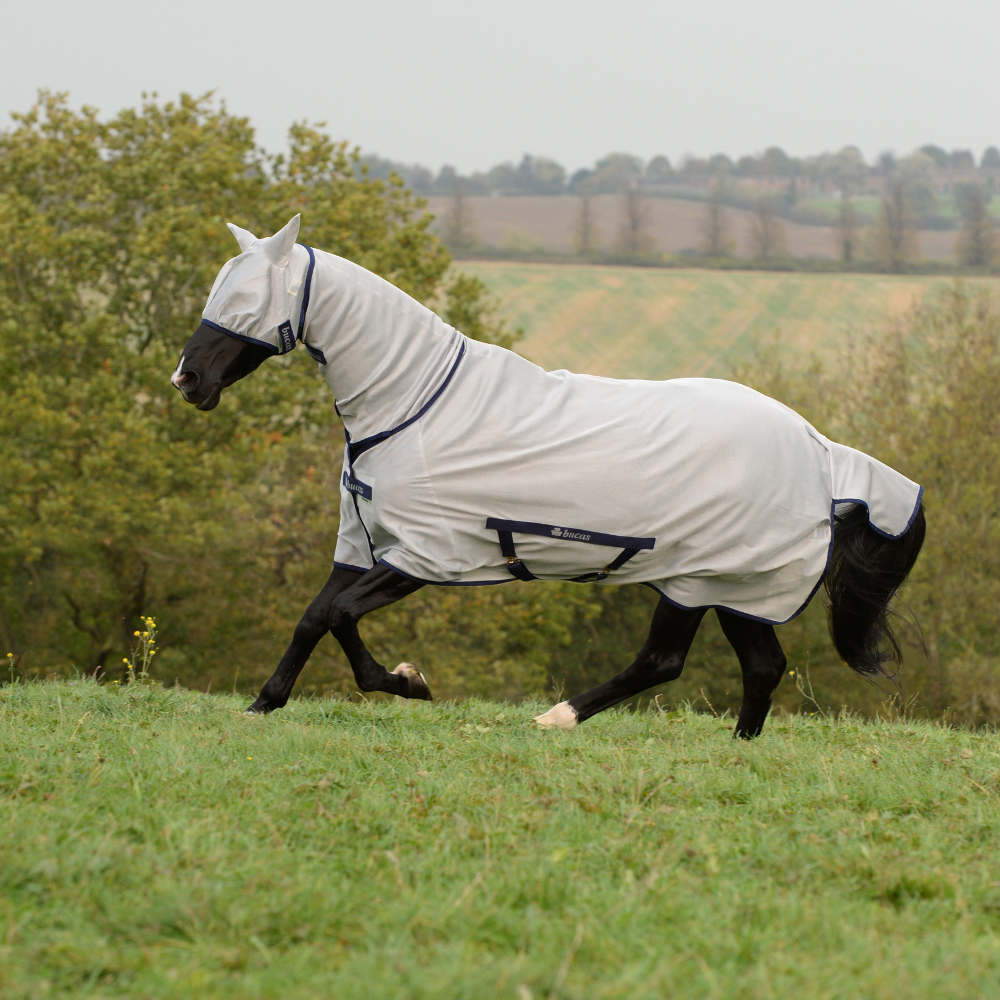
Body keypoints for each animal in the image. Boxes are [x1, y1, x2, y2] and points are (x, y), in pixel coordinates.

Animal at [171, 215, 926, 738]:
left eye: (247, 300)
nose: (188, 380)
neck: (414, 403)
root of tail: (822, 451)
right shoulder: (361, 541)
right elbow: (313, 617)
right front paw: (264, 703)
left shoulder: (423, 556)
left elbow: (338, 616)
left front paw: (408, 682)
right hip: (729, 587)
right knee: (750, 667)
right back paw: (729, 748)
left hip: (707, 580)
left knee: (671, 662)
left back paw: (558, 719)